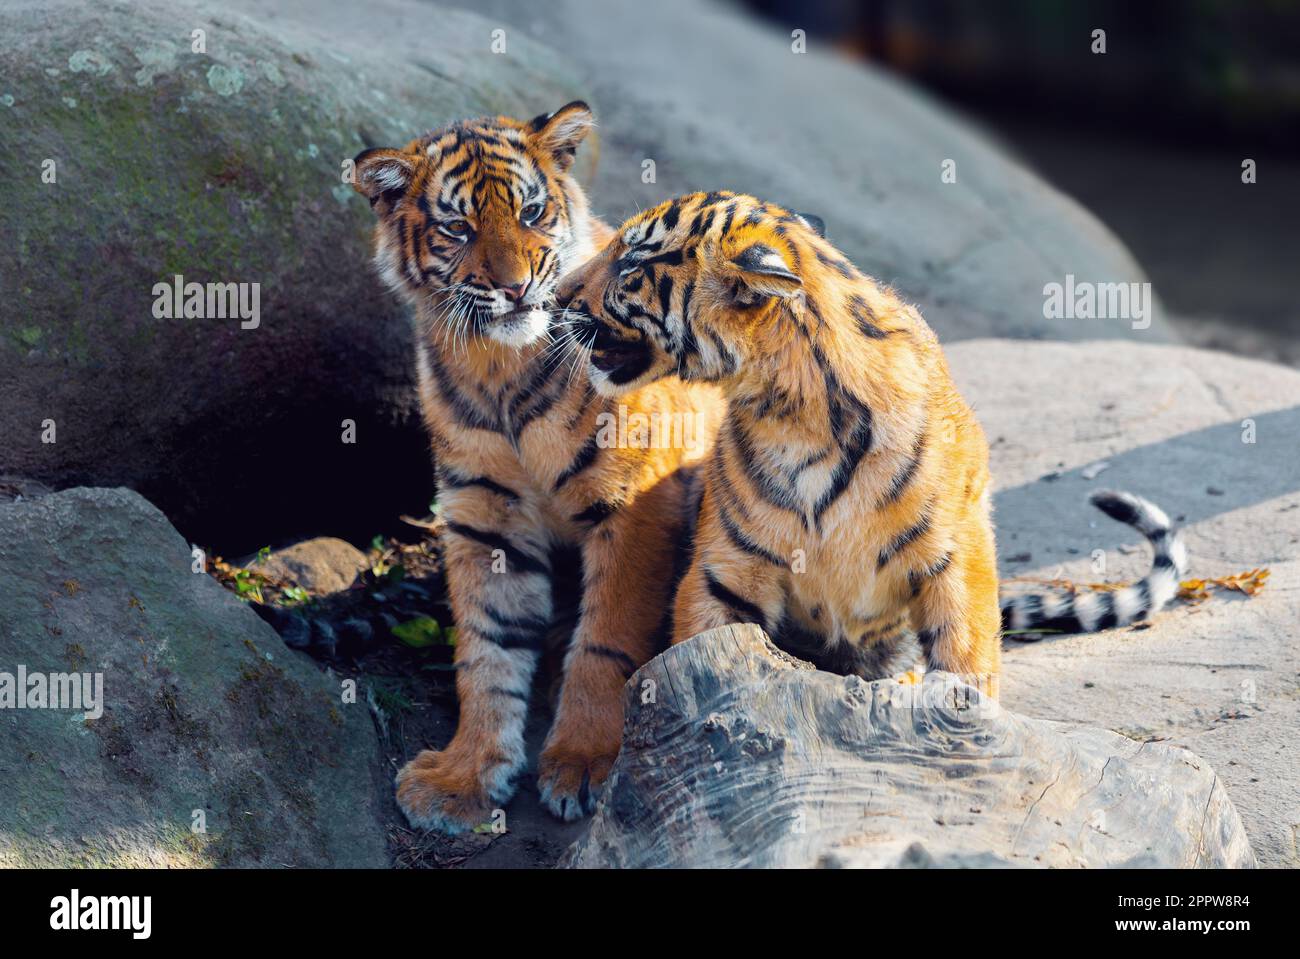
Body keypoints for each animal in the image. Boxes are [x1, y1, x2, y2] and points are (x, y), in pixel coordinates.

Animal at [351, 104, 725, 831]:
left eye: (530, 212)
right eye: (458, 227)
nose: (515, 287)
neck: (500, 365)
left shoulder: (633, 505)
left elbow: (606, 640)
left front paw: (585, 761)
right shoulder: (485, 515)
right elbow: (487, 645)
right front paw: (465, 775)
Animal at [553, 191, 1189, 698]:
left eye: (632, 260)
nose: (555, 292)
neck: (792, 413)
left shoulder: (955, 552)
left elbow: (965, 650)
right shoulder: (727, 567)